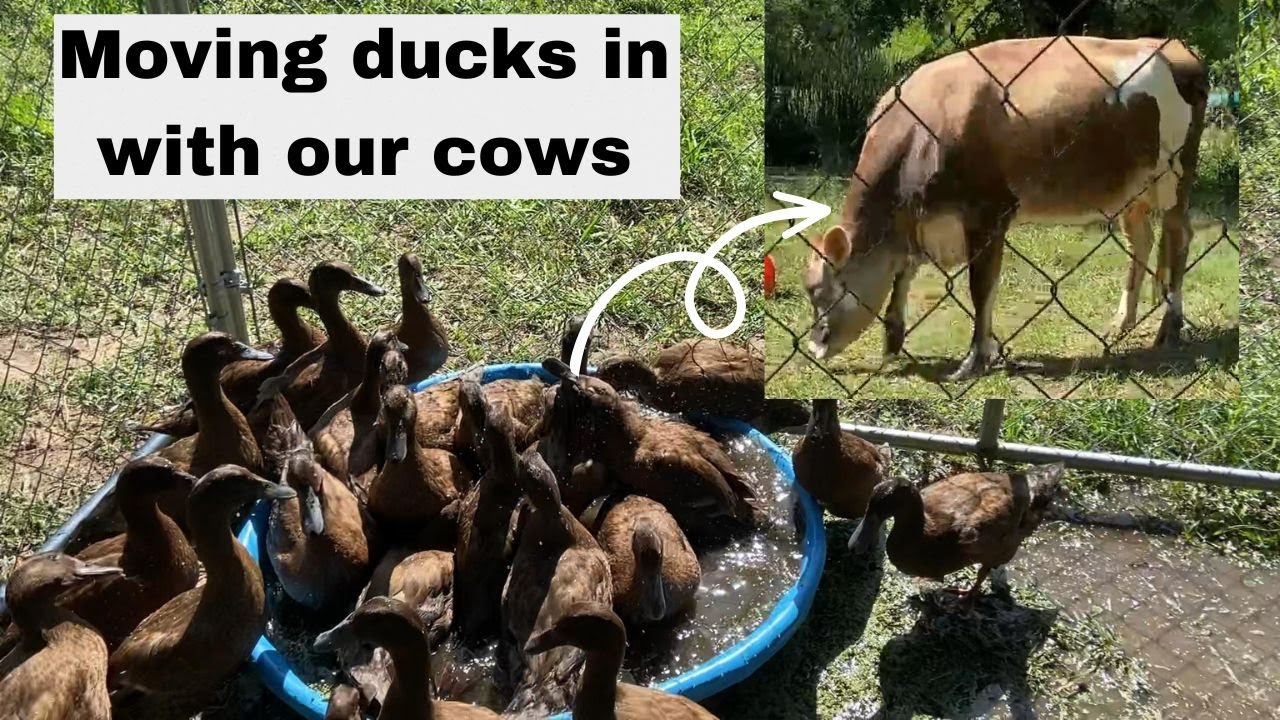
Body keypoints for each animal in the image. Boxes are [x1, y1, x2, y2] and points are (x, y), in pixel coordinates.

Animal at [801, 36, 1208, 380]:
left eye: (819, 291)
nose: (814, 346)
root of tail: (1171, 45)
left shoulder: (988, 212)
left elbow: (981, 287)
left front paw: (974, 359)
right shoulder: (921, 223)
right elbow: (904, 274)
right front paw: (894, 338)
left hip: (1176, 175)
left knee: (1178, 237)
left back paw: (1169, 326)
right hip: (1132, 189)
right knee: (1142, 240)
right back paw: (1121, 323)